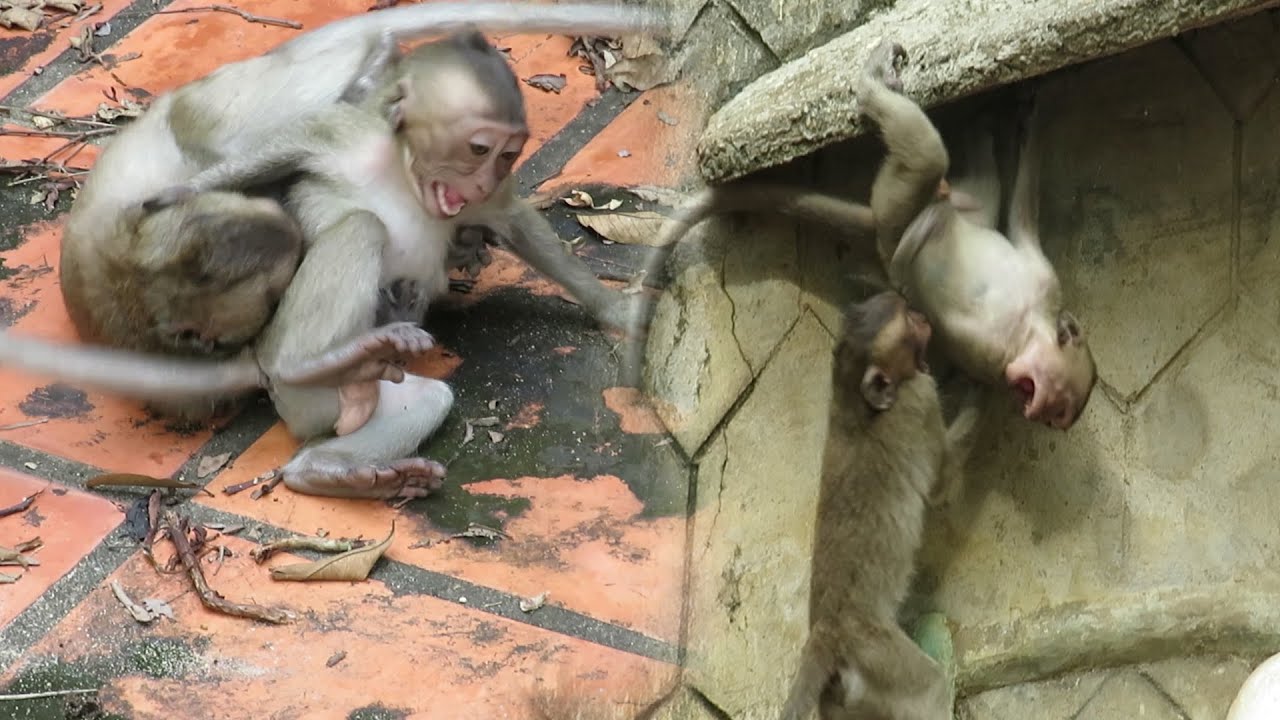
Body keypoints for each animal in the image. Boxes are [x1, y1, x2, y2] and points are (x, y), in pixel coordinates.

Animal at [637, 40, 1095, 431]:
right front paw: (1038, 109)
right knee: (932, 164)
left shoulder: (994, 358)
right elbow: (1020, 218)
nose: (1038, 415)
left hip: (912, 202)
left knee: (937, 183)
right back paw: (886, 87)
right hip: (903, 201)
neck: (1026, 332)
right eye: (1058, 408)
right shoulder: (1042, 282)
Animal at [778, 290, 979, 720]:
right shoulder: (920, 397)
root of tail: (826, 633)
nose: (924, 316)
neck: (853, 400)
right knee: (930, 688)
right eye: (909, 320)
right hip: (874, 651)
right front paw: (982, 395)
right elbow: (942, 484)